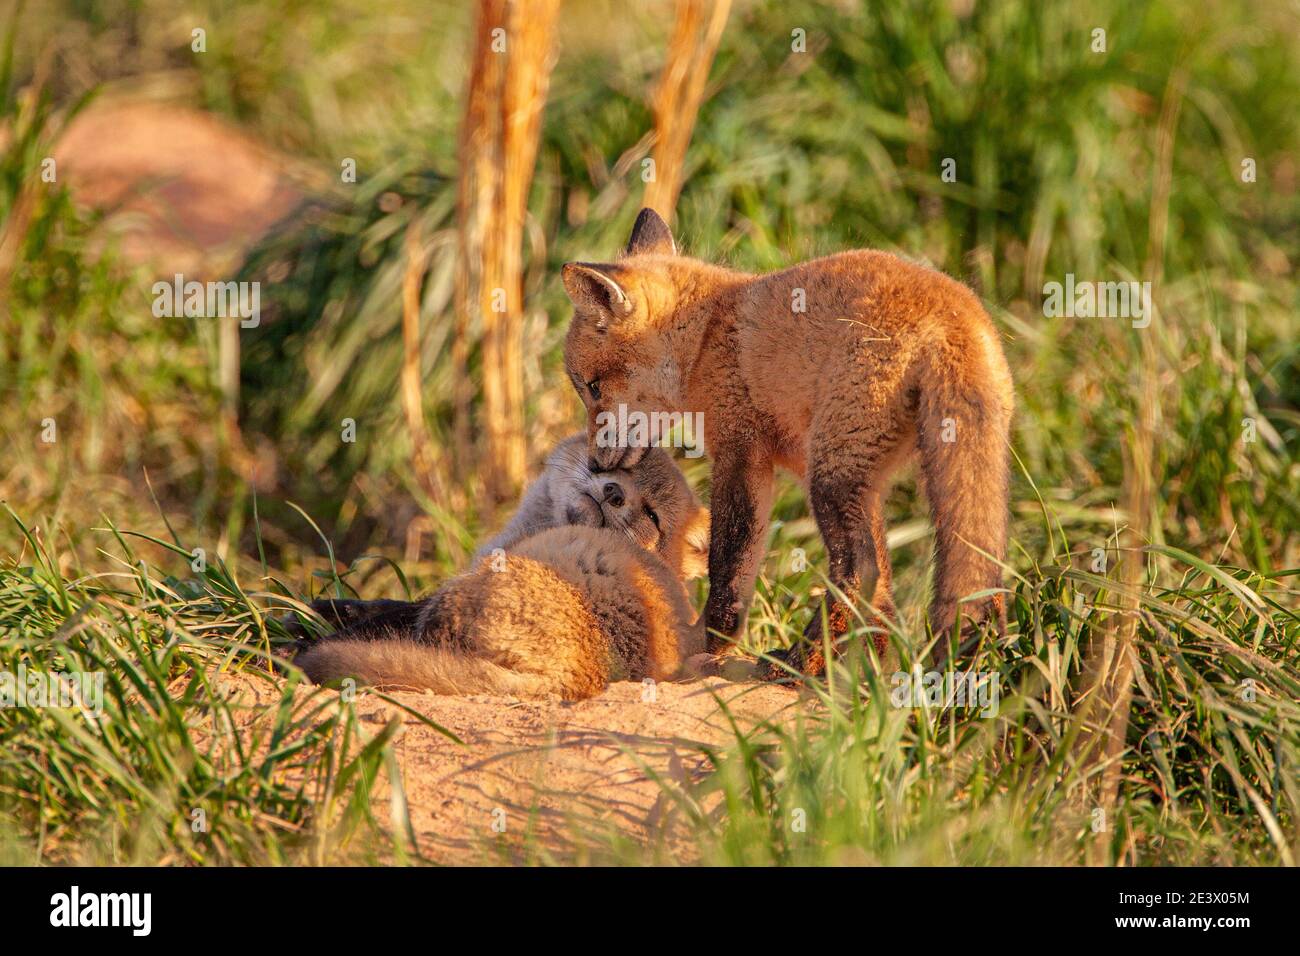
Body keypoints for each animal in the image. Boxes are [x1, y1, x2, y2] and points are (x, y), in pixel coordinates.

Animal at [293, 434, 712, 700]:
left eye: (652, 516)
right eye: (613, 464)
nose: (614, 492)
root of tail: (585, 668)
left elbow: (382, 615)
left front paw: (309, 627)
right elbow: (377, 605)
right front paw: (319, 611)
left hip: (458, 602)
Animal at [560, 208, 1014, 676]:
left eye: (592, 388)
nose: (594, 465)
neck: (705, 335)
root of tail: (951, 310)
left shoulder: (741, 452)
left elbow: (729, 564)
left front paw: (709, 640)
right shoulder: (852, 480)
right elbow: (886, 596)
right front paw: (865, 670)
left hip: (832, 477)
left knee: (860, 568)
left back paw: (794, 666)